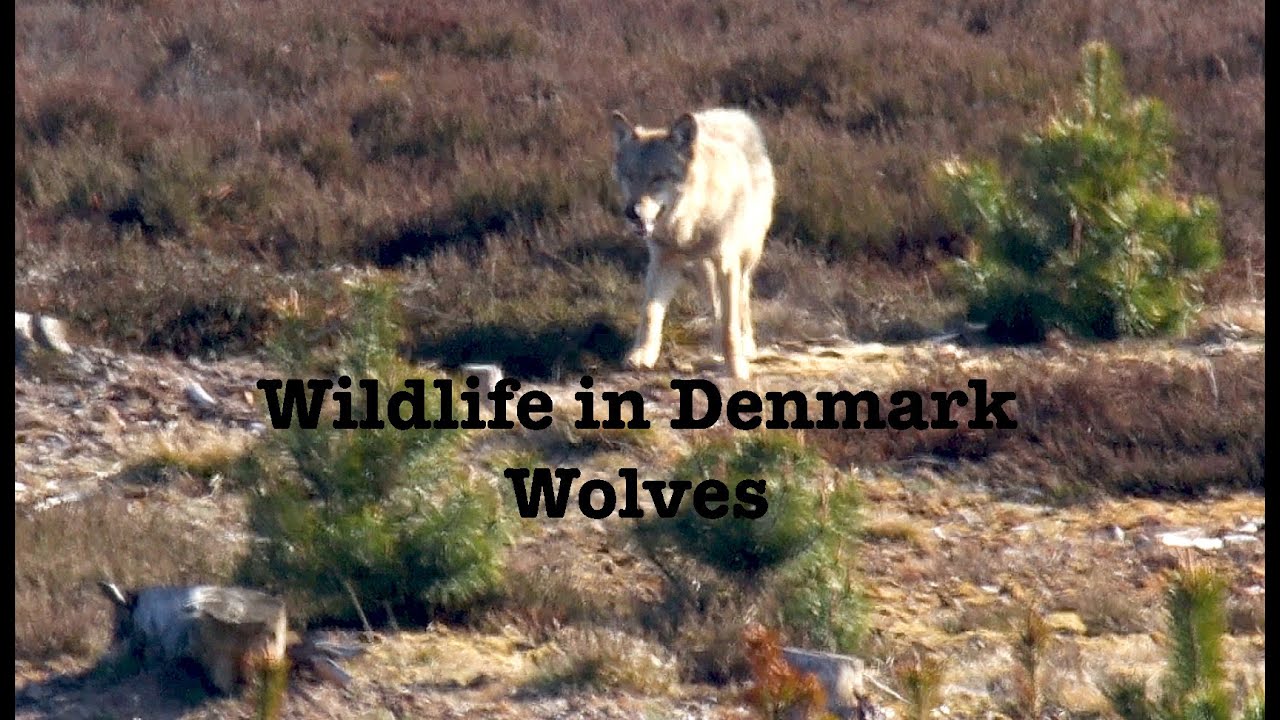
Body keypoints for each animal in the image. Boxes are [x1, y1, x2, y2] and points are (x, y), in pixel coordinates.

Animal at [609, 108, 775, 380]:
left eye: (658, 178)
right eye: (629, 176)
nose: (630, 212)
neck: (689, 222)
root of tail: (731, 113)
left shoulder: (727, 264)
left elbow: (730, 325)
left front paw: (736, 368)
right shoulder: (662, 261)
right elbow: (650, 313)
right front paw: (642, 355)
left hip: (745, 258)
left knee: (741, 300)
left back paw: (746, 345)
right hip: (701, 268)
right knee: (716, 306)